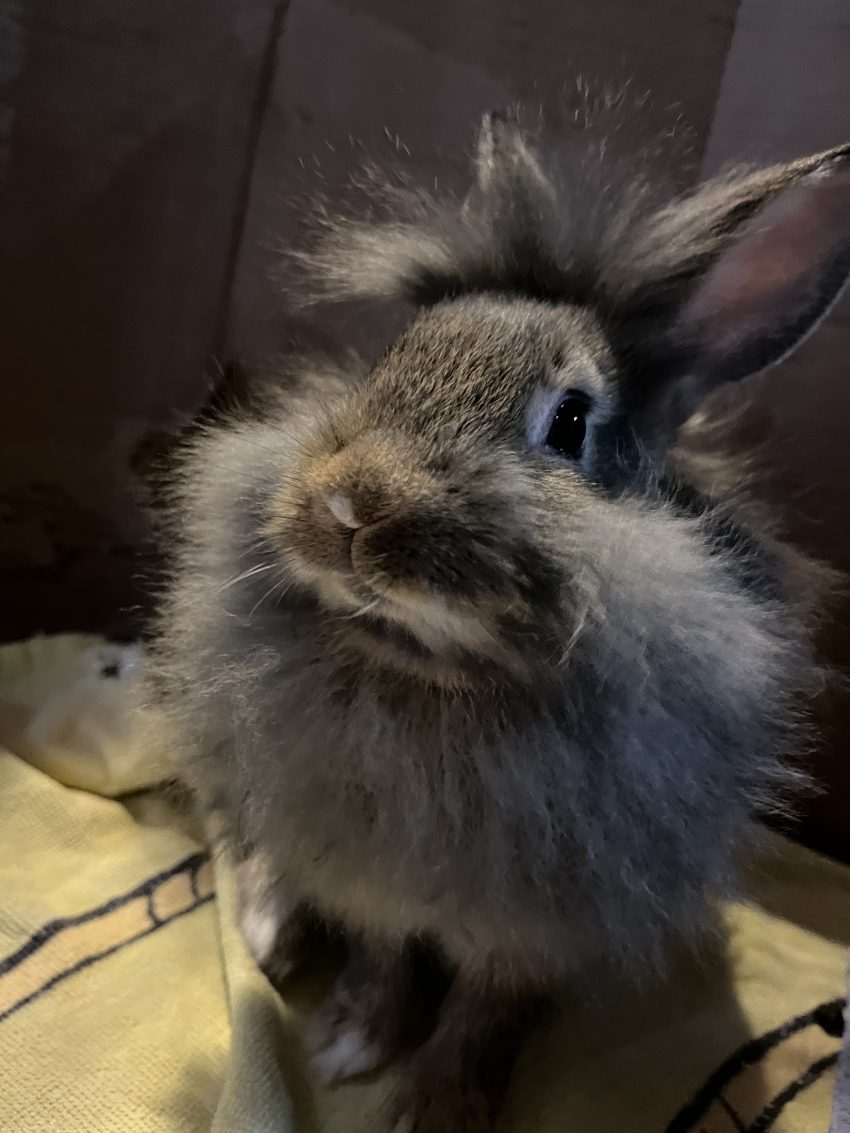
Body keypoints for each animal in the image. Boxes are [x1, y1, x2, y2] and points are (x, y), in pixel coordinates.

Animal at [148, 108, 850, 1132]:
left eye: (570, 423)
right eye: (386, 360)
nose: (351, 507)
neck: (428, 668)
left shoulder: (533, 927)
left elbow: (484, 1007)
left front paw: (435, 1106)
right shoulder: (377, 881)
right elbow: (389, 961)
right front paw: (353, 1043)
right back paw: (271, 934)